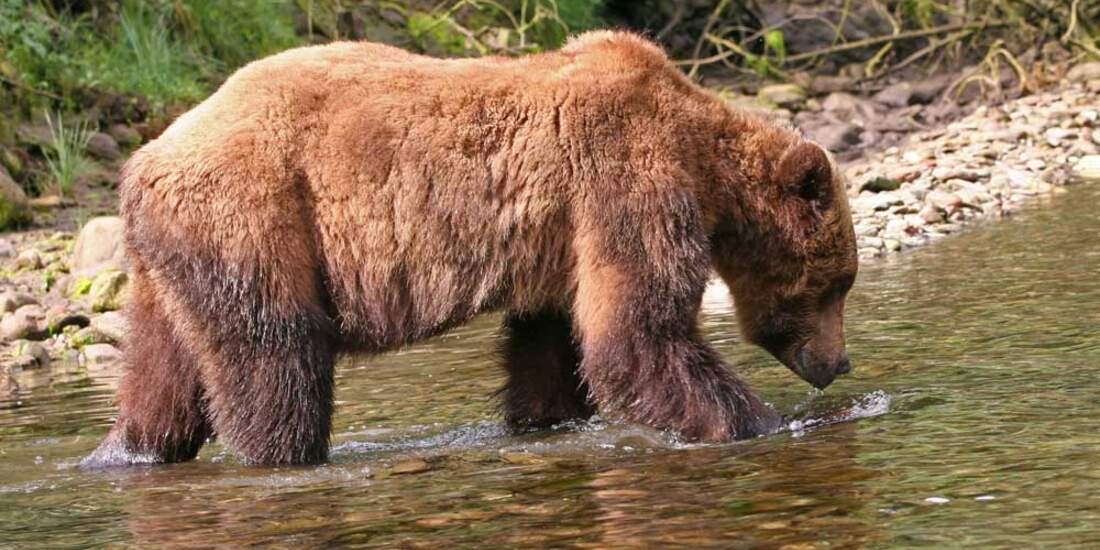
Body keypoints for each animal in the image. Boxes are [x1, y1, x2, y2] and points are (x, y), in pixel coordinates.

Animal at [82, 31, 858, 467]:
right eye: (837, 285)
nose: (839, 362)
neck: (704, 160)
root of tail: (144, 161)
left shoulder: (562, 237)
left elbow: (554, 346)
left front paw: (544, 420)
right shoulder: (626, 173)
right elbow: (638, 333)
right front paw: (767, 421)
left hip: (170, 259)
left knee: (164, 374)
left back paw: (125, 452)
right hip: (254, 215)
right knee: (275, 355)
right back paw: (284, 454)